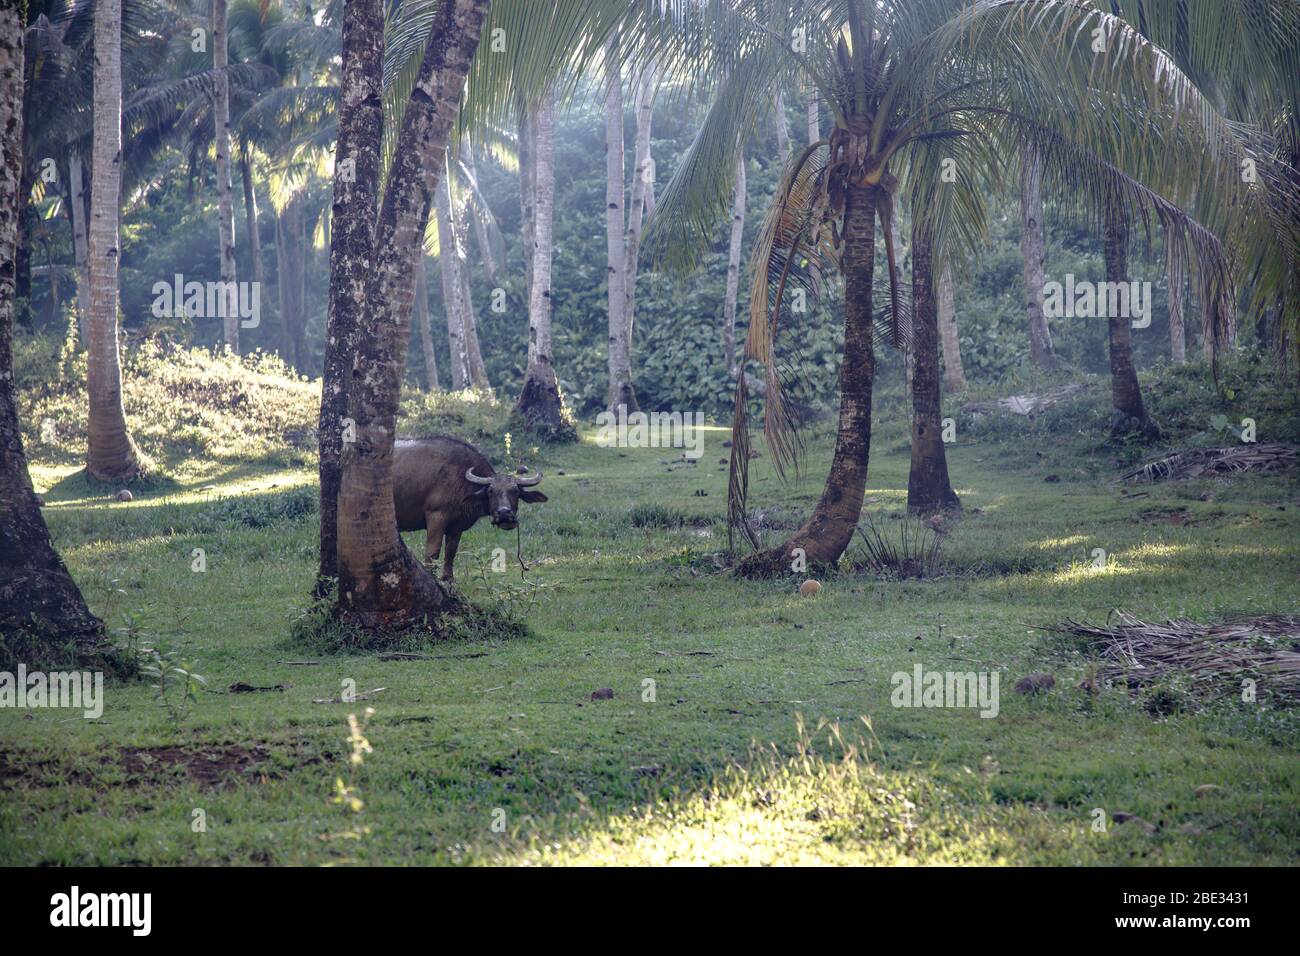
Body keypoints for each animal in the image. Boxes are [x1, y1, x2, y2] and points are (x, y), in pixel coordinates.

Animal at [392, 436, 547, 581]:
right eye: (490, 491)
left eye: (515, 491)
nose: (504, 513)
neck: (459, 479)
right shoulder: (436, 516)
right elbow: (432, 553)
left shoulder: (456, 527)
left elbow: (451, 552)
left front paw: (448, 579)